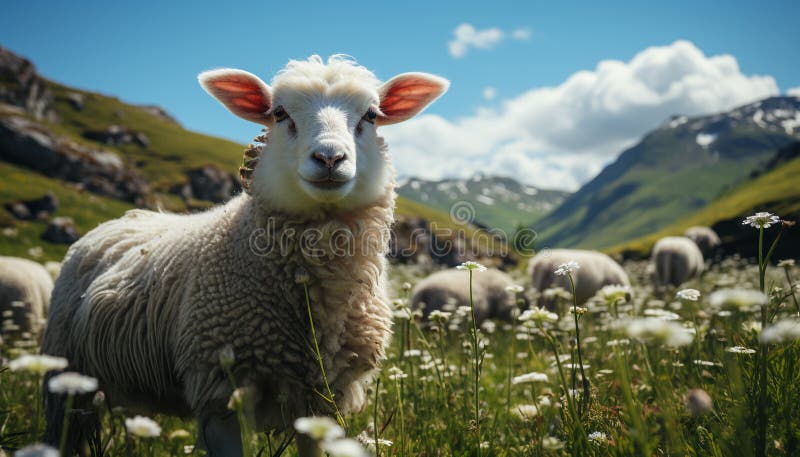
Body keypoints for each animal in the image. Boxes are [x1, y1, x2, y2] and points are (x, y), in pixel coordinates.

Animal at [40, 55, 449, 456]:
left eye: (371, 115)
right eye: (280, 113)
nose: (330, 158)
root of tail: (123, 219)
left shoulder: (324, 401)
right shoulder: (220, 394)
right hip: (64, 379)